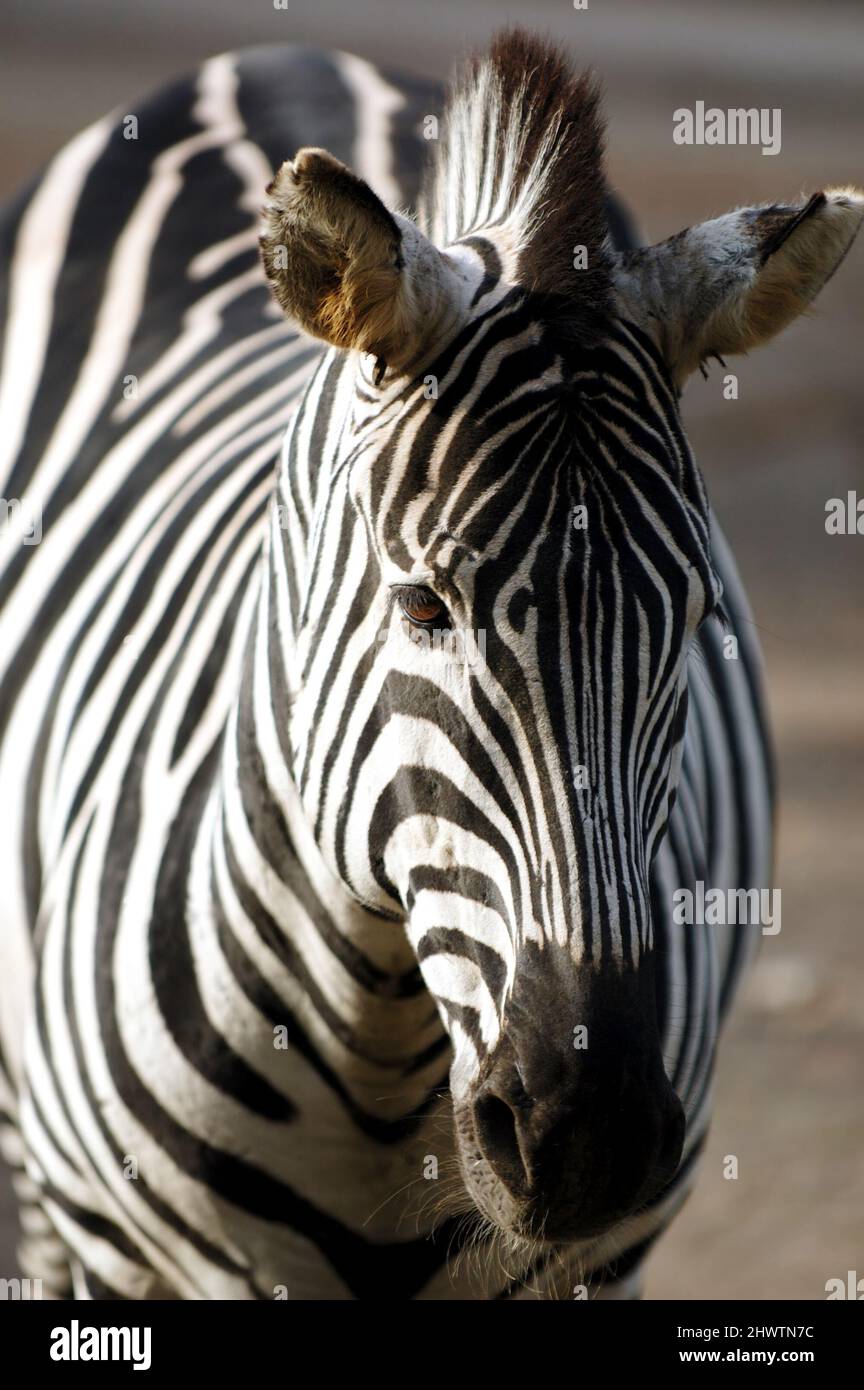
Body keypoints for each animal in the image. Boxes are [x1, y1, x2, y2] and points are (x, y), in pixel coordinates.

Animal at [0, 29, 860, 1302]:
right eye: (421, 604)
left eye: (696, 616)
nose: (591, 1137)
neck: (388, 1037)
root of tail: (282, 53)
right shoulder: (116, 1248)